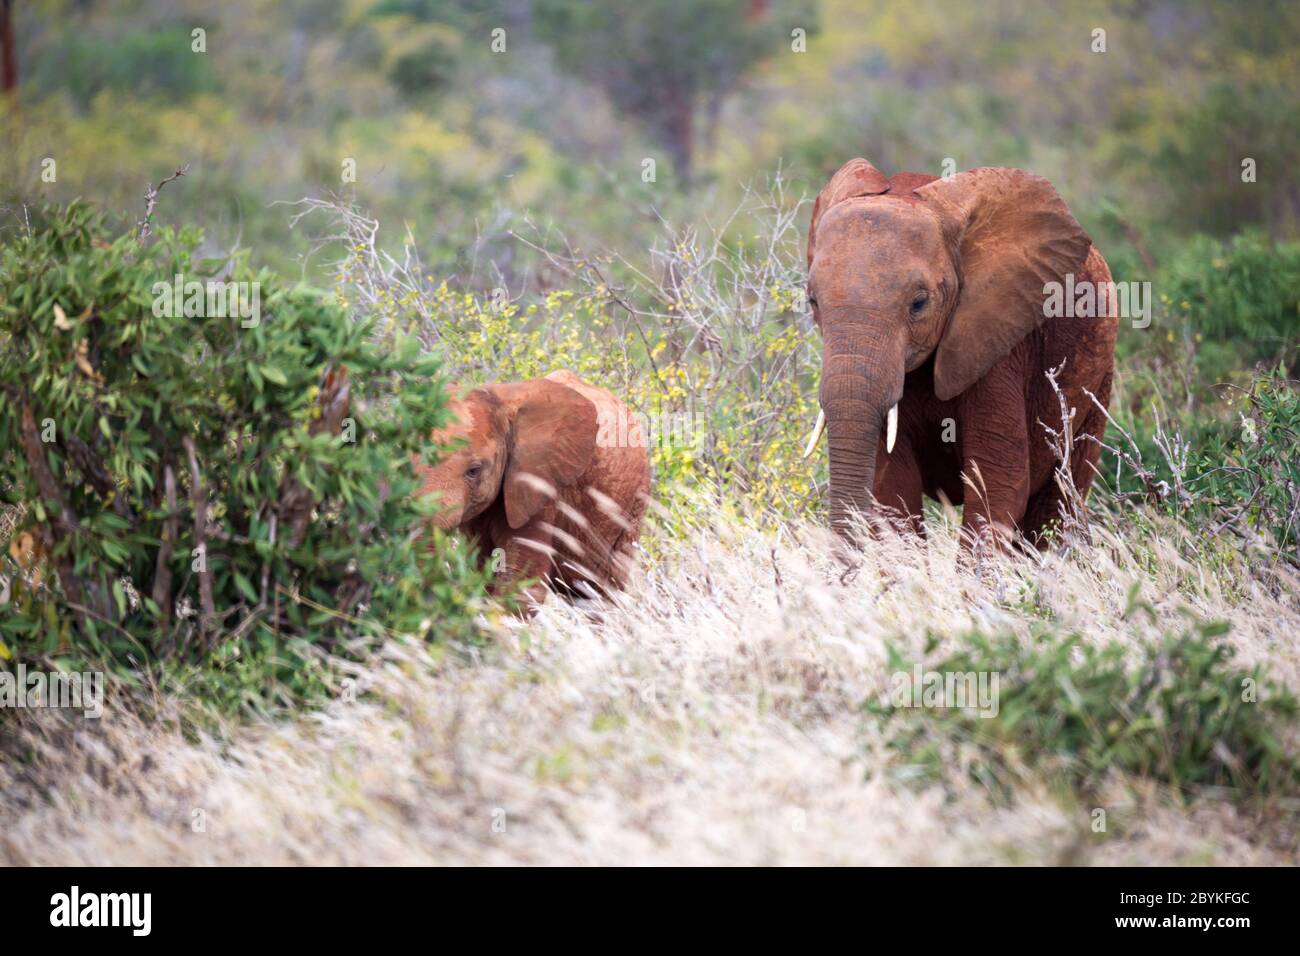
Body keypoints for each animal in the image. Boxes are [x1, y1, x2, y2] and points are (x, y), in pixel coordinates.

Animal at [803, 159, 1118, 547]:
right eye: (813, 301)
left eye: (919, 303)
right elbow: (892, 484)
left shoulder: (999, 340)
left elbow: (999, 481)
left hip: (1098, 384)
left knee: (1057, 498)